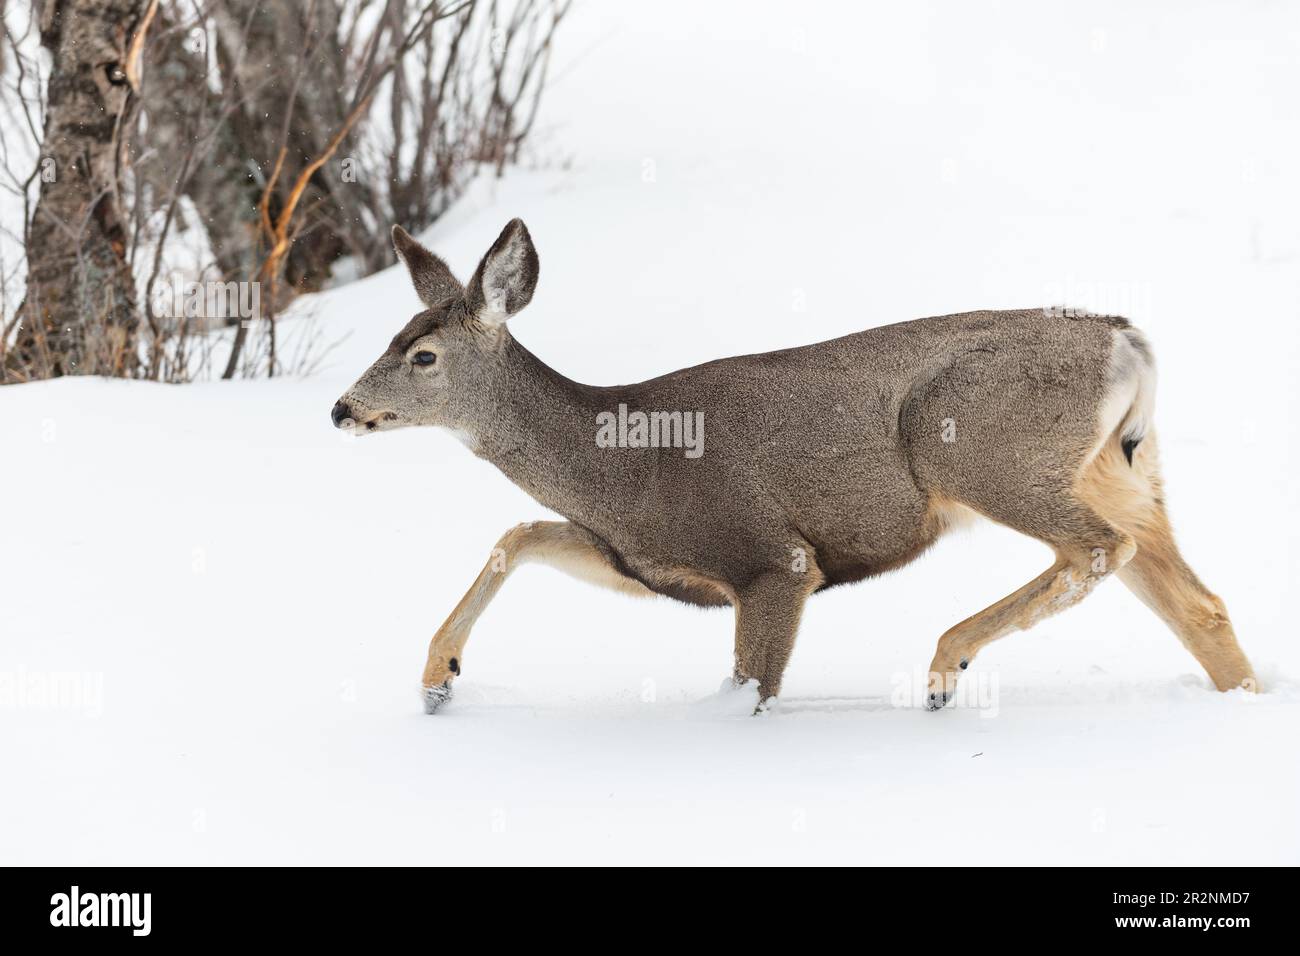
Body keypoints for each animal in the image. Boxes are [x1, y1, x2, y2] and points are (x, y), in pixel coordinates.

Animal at [332, 219, 1256, 715]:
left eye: (421, 356)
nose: (341, 408)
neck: (621, 463)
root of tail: (1125, 339)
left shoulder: (772, 559)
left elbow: (750, 687)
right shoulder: (641, 563)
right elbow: (519, 530)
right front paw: (437, 679)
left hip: (977, 447)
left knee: (1097, 549)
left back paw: (945, 665)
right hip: (1120, 467)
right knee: (1197, 600)